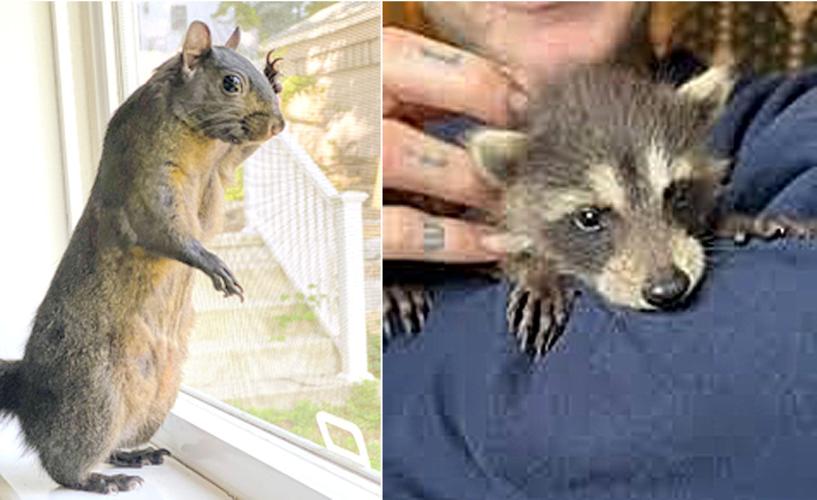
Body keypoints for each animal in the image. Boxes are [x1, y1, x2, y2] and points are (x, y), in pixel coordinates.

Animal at [0, 21, 284, 494]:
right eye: (230, 83)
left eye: (259, 76)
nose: (277, 124)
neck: (200, 140)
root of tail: (26, 390)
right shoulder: (144, 176)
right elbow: (162, 227)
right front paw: (213, 265)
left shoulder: (221, 166)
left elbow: (240, 156)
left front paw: (279, 76)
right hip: (92, 397)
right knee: (63, 461)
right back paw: (99, 480)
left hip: (155, 398)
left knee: (116, 438)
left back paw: (132, 453)